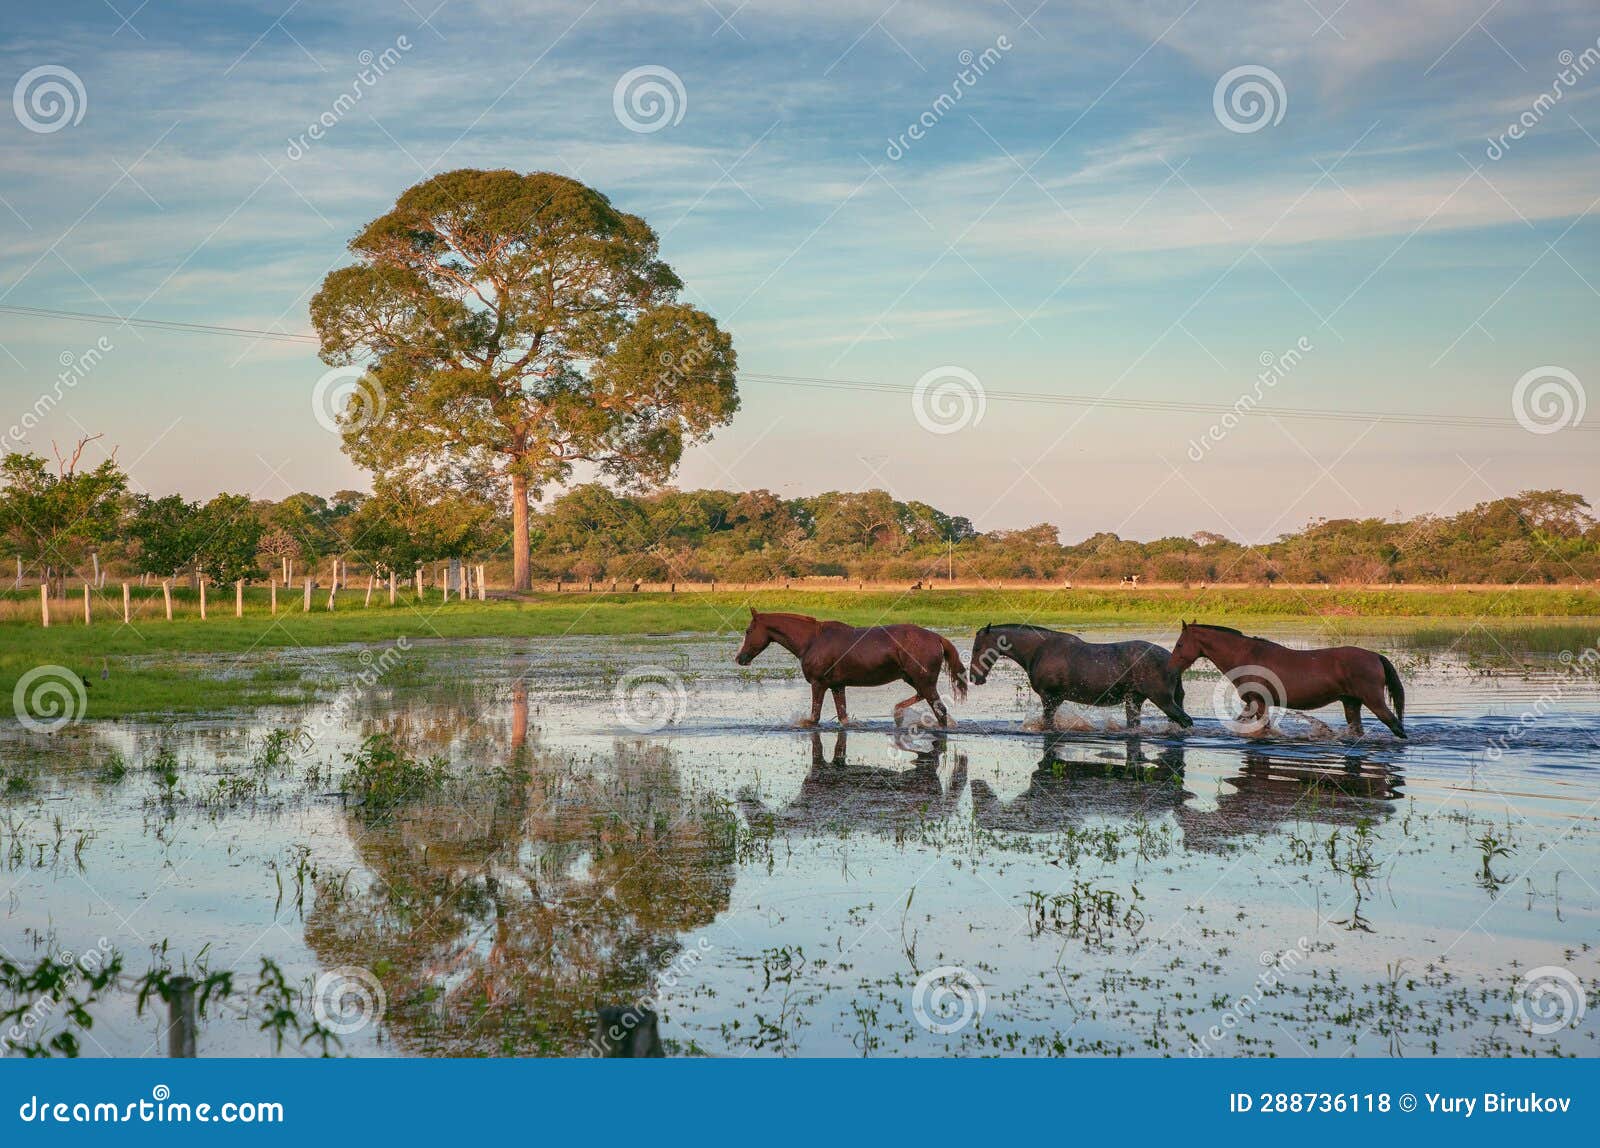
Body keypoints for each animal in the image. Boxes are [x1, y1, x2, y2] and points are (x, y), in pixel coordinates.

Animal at [733, 609, 967, 727]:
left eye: (748, 631)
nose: (740, 658)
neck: (811, 641)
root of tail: (936, 637)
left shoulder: (818, 684)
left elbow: (814, 719)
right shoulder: (837, 686)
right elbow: (843, 718)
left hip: (923, 681)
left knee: (940, 711)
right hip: (913, 679)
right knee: (923, 698)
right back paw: (898, 712)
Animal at [967, 623, 1194, 729]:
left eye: (977, 648)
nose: (974, 677)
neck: (1040, 650)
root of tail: (1171, 659)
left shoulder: (1050, 698)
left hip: (1163, 700)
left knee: (1186, 721)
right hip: (1134, 700)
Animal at [1166, 622, 1406, 738]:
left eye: (1179, 644)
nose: (1171, 667)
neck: (1246, 656)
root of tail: (1375, 656)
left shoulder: (1260, 703)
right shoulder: (1252, 703)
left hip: (1374, 701)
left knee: (1395, 725)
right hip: (1351, 703)